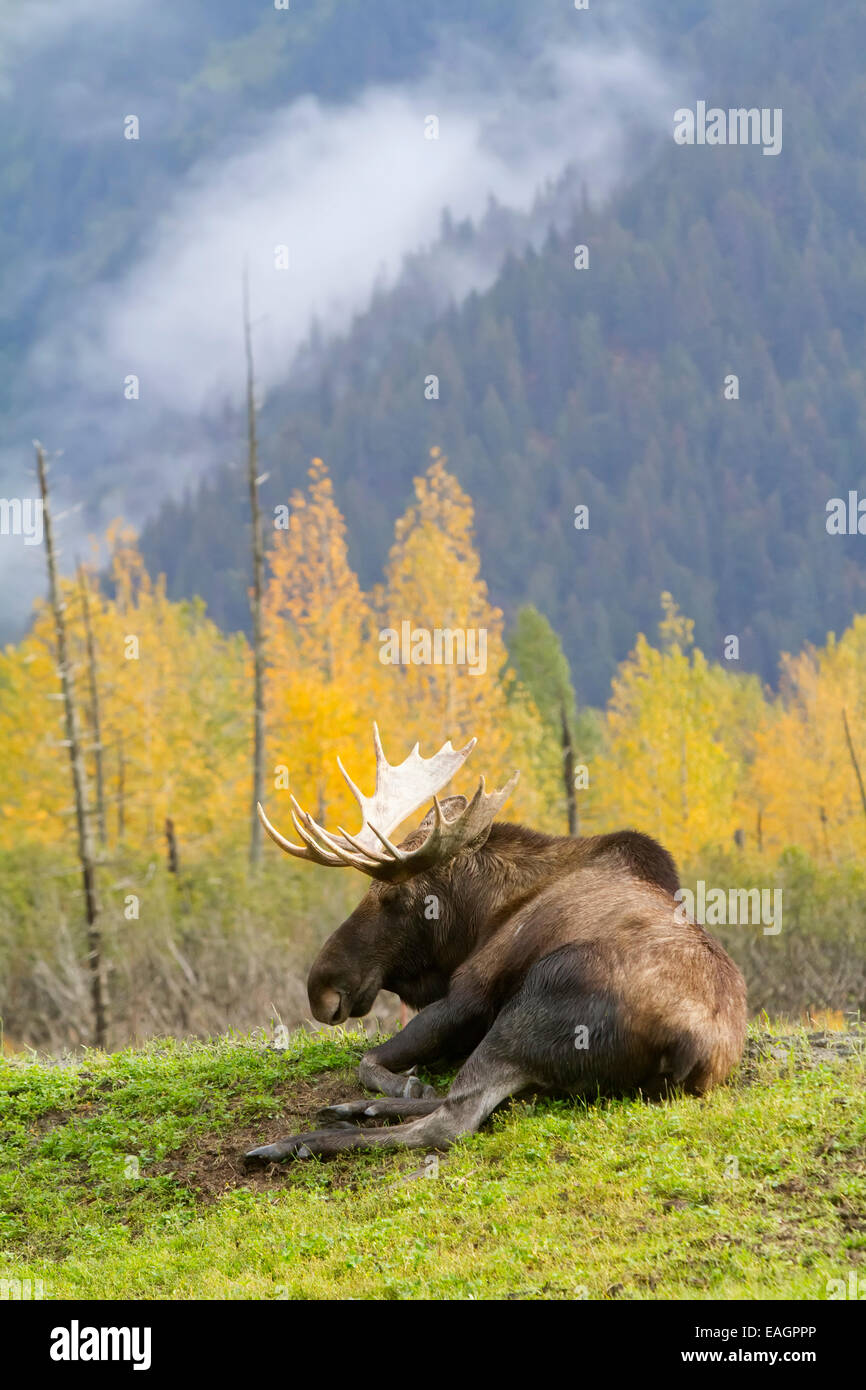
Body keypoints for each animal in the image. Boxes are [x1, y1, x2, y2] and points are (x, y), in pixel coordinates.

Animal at [245, 727, 747, 1165]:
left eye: (394, 897)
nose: (322, 989)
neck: (484, 915)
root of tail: (689, 1048)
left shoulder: (470, 994)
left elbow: (367, 1061)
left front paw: (401, 1086)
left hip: (535, 1001)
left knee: (452, 1118)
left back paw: (299, 1141)